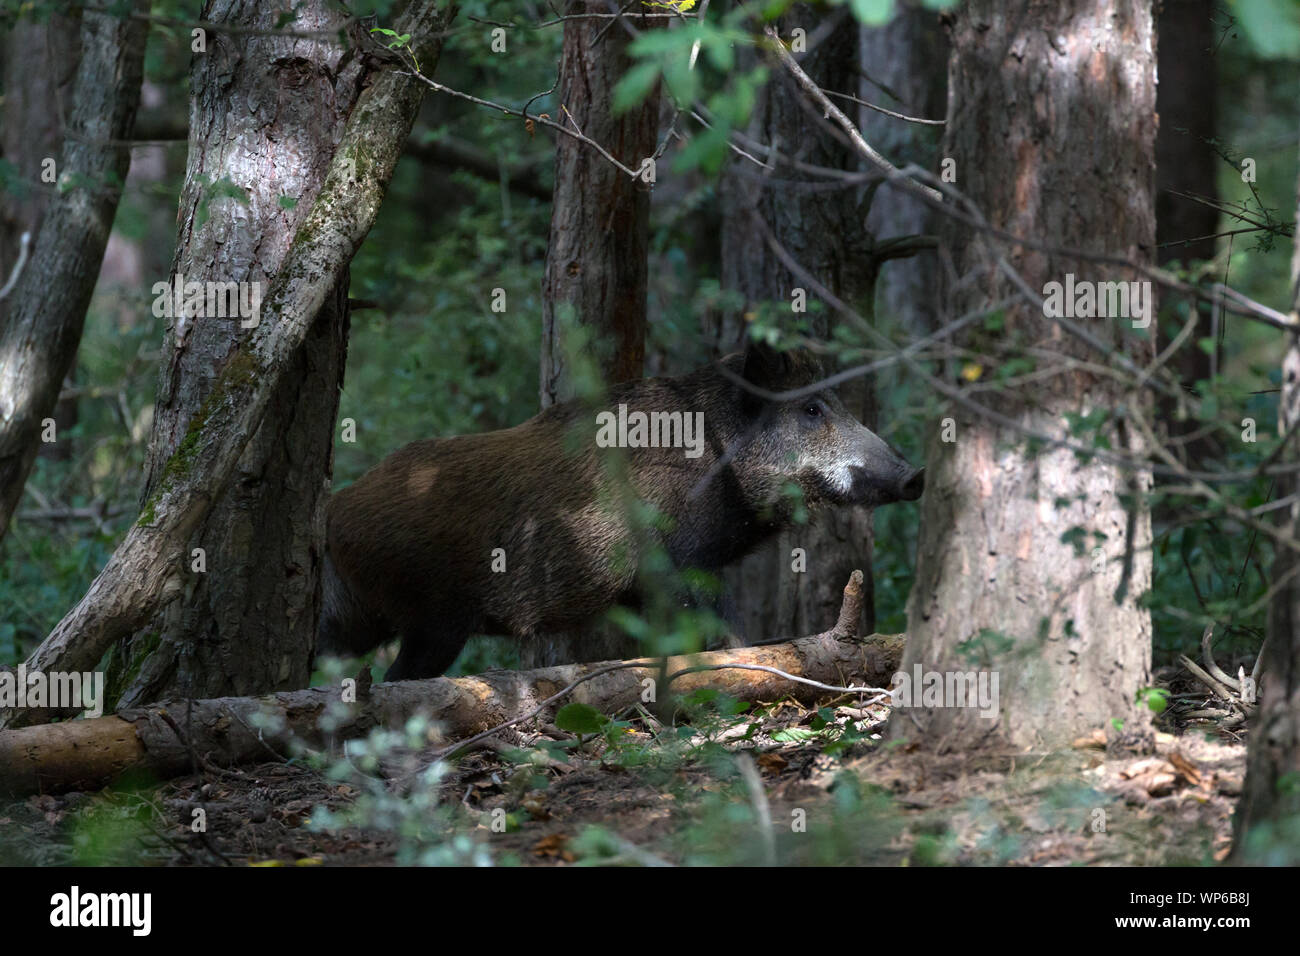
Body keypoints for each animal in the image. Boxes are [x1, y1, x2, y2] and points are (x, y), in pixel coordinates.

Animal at [317, 340, 922, 680]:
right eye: (812, 408)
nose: (914, 475)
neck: (717, 457)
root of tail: (333, 514)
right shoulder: (681, 562)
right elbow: (722, 629)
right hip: (432, 619)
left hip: (365, 616)